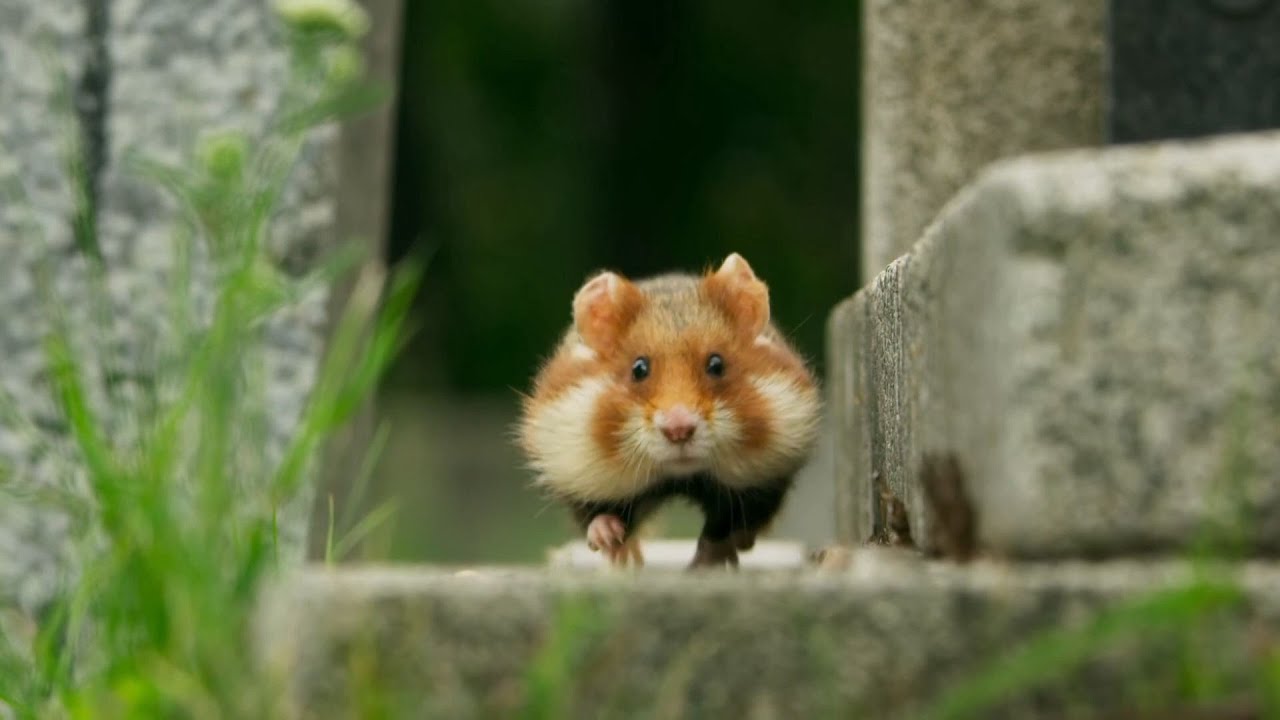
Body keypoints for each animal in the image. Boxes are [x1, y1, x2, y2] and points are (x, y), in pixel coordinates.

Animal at [518, 253, 822, 569]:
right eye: (639, 368)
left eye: (716, 364)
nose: (679, 430)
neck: (679, 477)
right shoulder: (577, 467)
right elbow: (596, 514)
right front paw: (617, 549)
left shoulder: (763, 479)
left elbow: (730, 524)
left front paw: (709, 560)